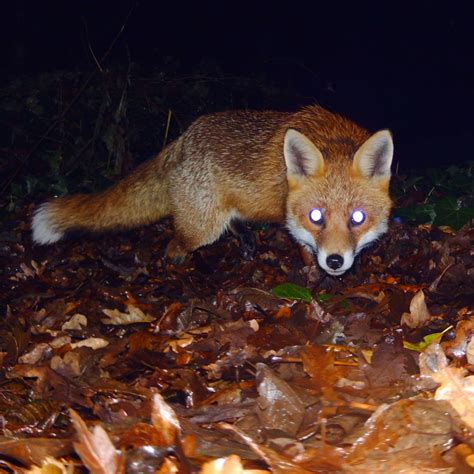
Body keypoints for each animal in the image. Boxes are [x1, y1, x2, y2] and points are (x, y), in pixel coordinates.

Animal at [32, 103, 392, 274]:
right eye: (316, 216)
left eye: (357, 218)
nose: (335, 261)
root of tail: (182, 138)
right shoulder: (291, 218)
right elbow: (304, 246)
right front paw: (312, 272)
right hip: (201, 229)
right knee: (175, 244)